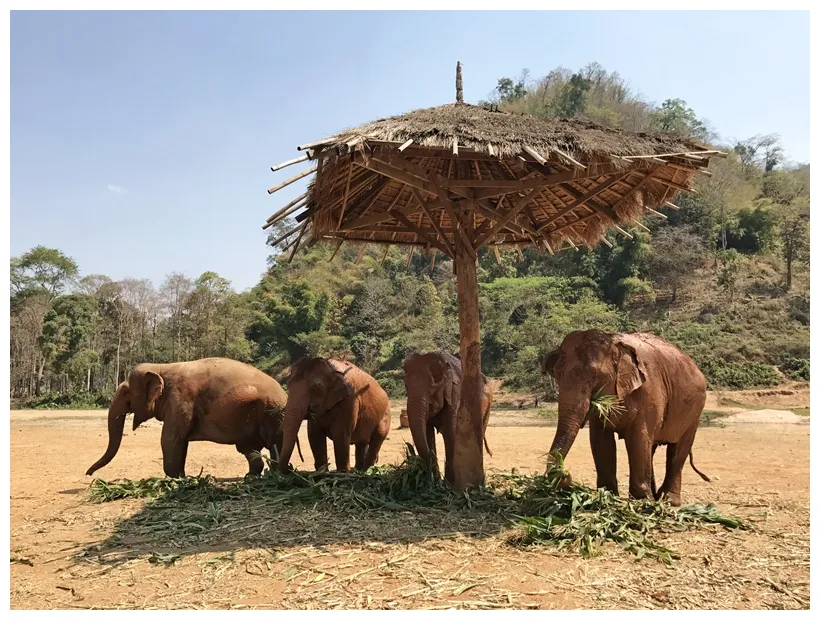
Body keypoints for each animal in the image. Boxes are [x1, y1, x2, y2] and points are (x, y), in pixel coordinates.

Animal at [85, 357, 302, 478]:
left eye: (126, 393)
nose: (88, 474)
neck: (163, 368)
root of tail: (284, 394)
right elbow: (181, 442)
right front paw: (182, 478)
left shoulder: (181, 400)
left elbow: (170, 439)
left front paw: (175, 480)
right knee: (249, 449)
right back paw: (251, 477)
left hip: (274, 416)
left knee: (275, 445)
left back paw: (275, 475)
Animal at [403, 352, 493, 482]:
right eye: (406, 387)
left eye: (433, 389)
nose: (408, 447)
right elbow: (428, 433)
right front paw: (434, 481)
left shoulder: (455, 394)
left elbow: (450, 433)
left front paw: (448, 483)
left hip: (488, 406)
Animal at [541, 330, 711, 506]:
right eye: (556, 375)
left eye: (595, 376)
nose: (564, 472)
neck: (615, 343)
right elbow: (601, 440)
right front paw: (607, 497)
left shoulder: (650, 391)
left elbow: (638, 439)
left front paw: (642, 501)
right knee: (652, 448)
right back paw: (657, 496)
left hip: (696, 410)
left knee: (678, 448)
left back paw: (669, 501)